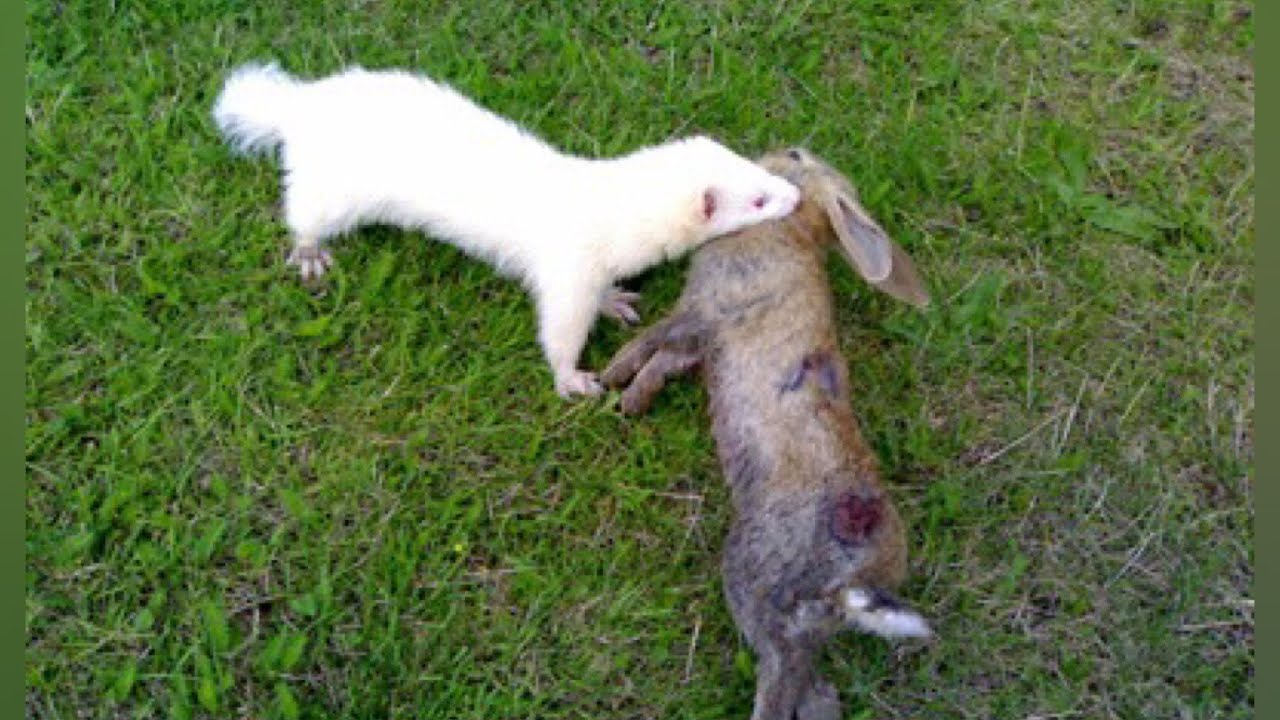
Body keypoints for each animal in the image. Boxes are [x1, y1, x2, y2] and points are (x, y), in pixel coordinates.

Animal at [213, 62, 800, 397]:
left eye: (759, 169)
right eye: (758, 198)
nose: (796, 196)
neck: (603, 209)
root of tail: (303, 102)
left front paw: (616, 301)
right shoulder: (567, 272)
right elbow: (559, 331)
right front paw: (573, 379)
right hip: (331, 192)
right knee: (303, 212)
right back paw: (310, 254)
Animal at [602, 148, 932, 720]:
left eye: (797, 158)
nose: (778, 153)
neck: (794, 225)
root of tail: (857, 580)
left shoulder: (707, 311)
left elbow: (654, 341)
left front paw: (611, 379)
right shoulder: (705, 340)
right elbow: (664, 361)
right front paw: (632, 399)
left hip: (759, 580)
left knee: (777, 682)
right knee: (815, 692)